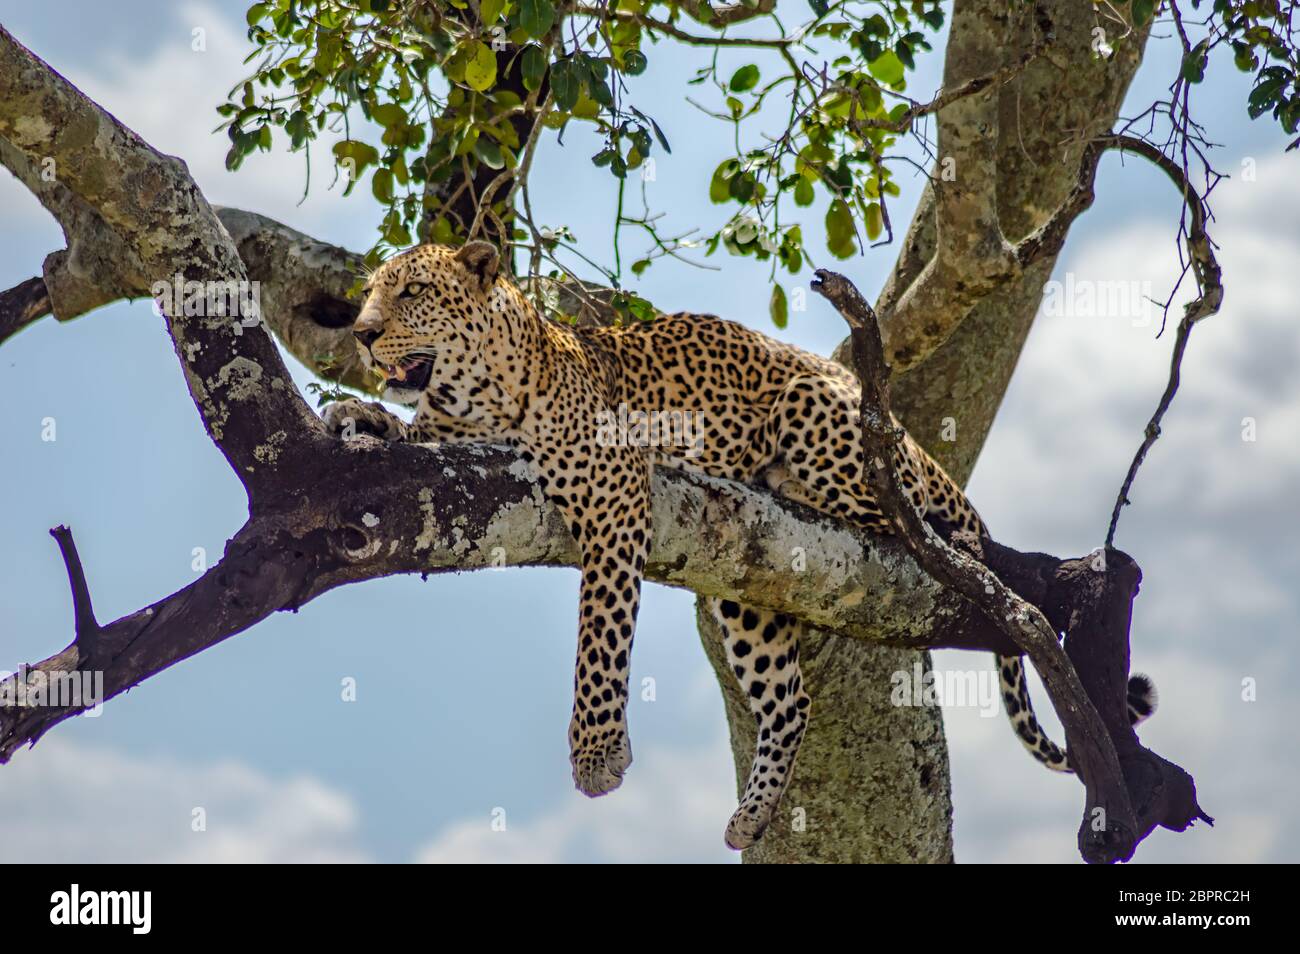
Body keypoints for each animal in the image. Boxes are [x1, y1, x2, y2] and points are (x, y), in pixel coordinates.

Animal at [322, 241, 1158, 850]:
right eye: (371, 293)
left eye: (411, 292)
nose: (361, 332)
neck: (477, 396)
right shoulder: (448, 435)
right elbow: (407, 430)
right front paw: (356, 416)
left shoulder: (615, 495)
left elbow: (600, 636)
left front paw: (596, 755)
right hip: (745, 591)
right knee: (791, 699)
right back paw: (753, 814)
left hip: (826, 430)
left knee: (921, 517)